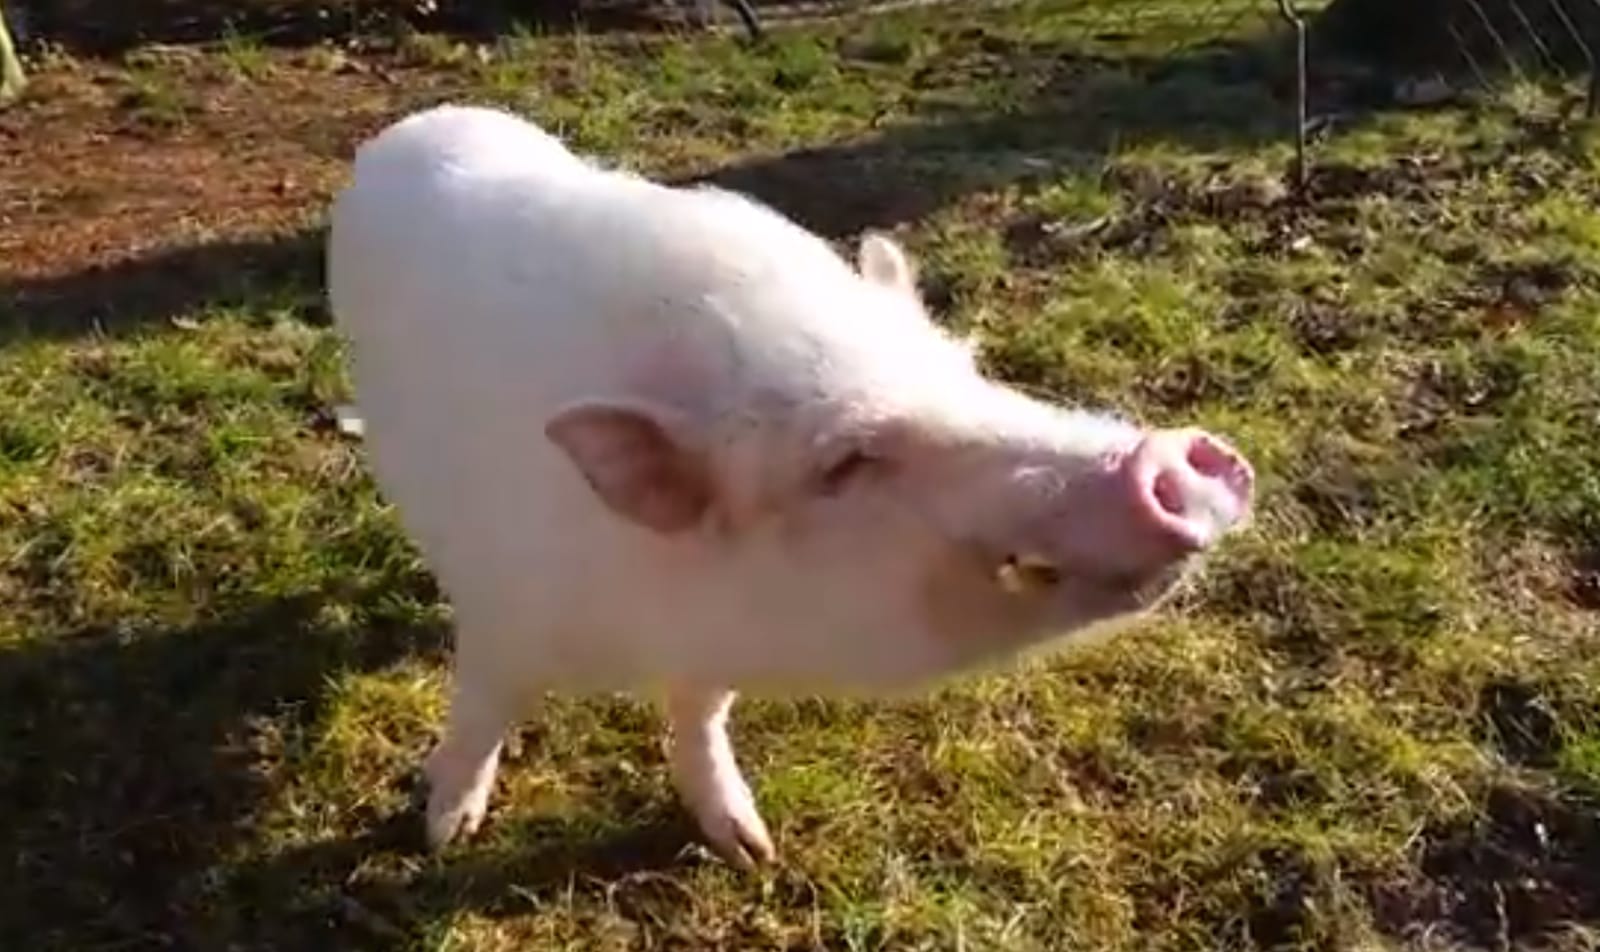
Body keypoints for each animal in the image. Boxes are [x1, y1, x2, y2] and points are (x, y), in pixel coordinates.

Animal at [325, 104, 1255, 870]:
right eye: (844, 463)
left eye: (966, 372)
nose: (1176, 453)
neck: (647, 625)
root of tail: (420, 120)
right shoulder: (503, 616)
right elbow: (480, 713)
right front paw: (442, 833)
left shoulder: (711, 654)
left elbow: (703, 717)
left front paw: (751, 851)